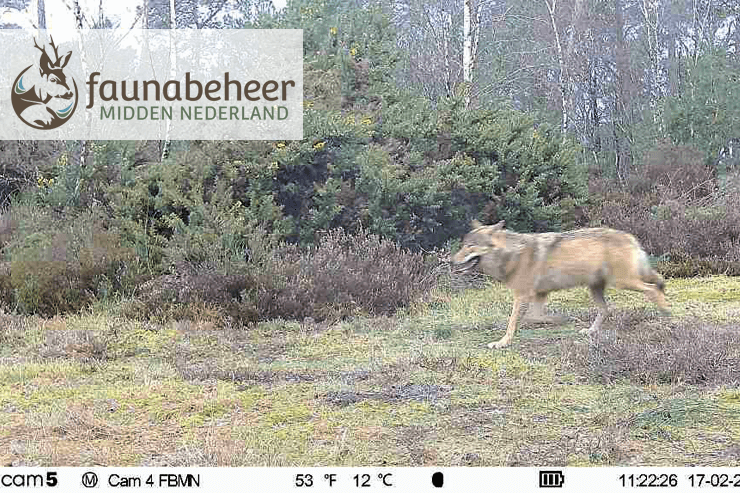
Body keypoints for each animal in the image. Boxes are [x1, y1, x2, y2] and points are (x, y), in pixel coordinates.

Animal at [451, 220, 669, 349]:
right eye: (463, 245)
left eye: (470, 246)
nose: (451, 261)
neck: (512, 256)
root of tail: (630, 237)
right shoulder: (540, 295)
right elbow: (535, 316)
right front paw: (556, 320)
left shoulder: (522, 296)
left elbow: (514, 321)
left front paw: (502, 342)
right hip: (596, 288)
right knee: (607, 310)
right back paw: (590, 331)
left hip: (623, 282)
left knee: (653, 289)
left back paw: (666, 311)